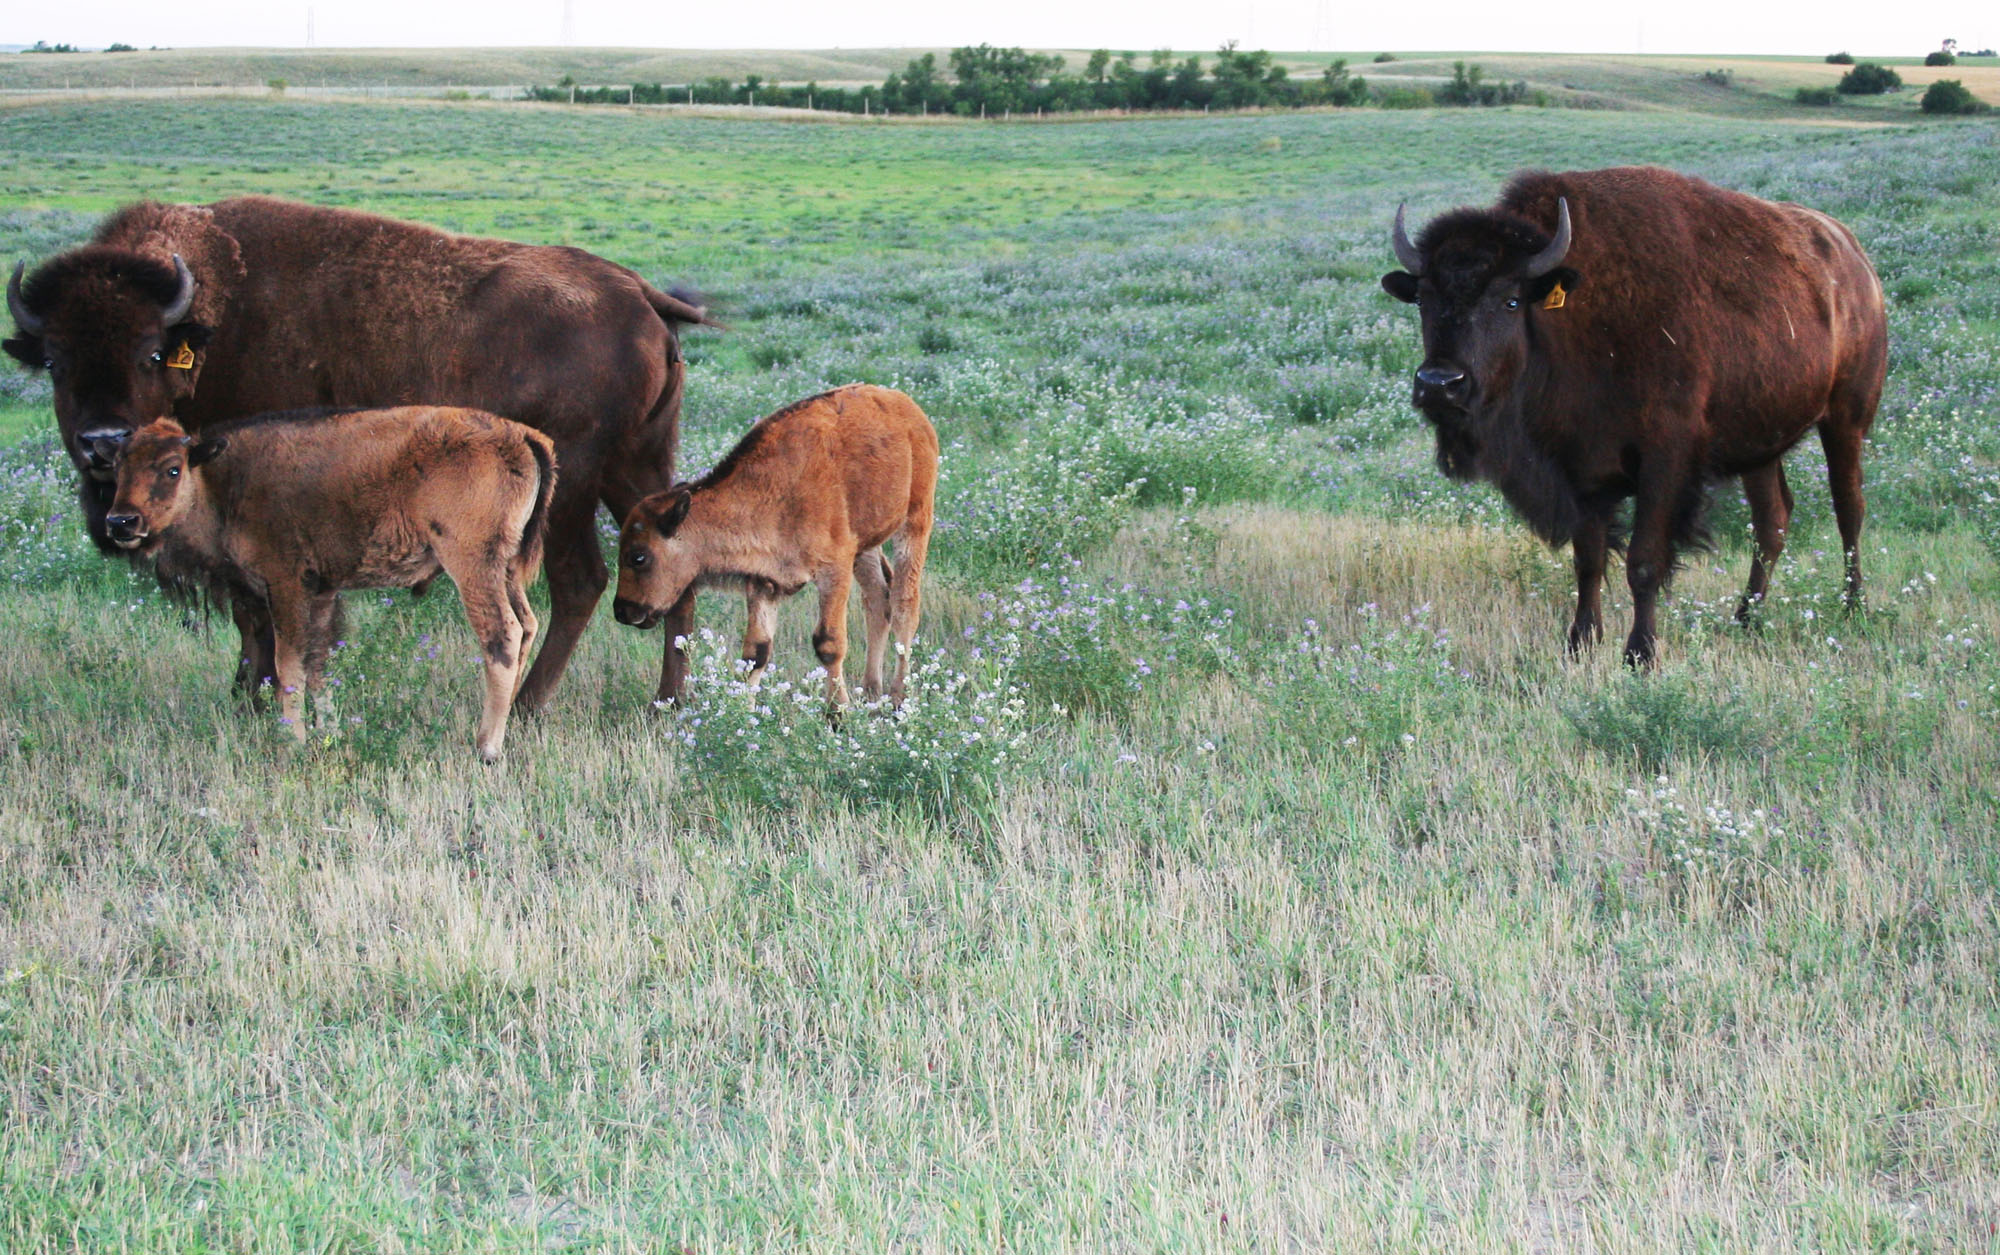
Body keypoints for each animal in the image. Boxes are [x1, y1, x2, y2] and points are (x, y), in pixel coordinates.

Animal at [6, 195, 716, 708]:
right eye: (55, 361)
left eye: (150, 352)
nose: (103, 443)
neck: (211, 324)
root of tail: (637, 291)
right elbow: (250, 610)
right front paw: (244, 695)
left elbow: (262, 612)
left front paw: (263, 698)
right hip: (633, 467)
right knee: (670, 561)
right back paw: (667, 706)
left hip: (572, 485)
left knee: (578, 582)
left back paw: (527, 708)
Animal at [1381, 165, 1887, 665]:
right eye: (1424, 299)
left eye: (1510, 300)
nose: (1439, 383)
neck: (1577, 318)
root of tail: (1855, 260)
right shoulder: (1582, 471)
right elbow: (1588, 558)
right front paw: (1580, 643)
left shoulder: (1664, 463)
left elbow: (1643, 561)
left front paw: (1640, 654)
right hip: (1761, 445)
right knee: (1772, 521)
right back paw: (1747, 619)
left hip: (1846, 419)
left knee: (1849, 507)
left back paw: (1854, 608)